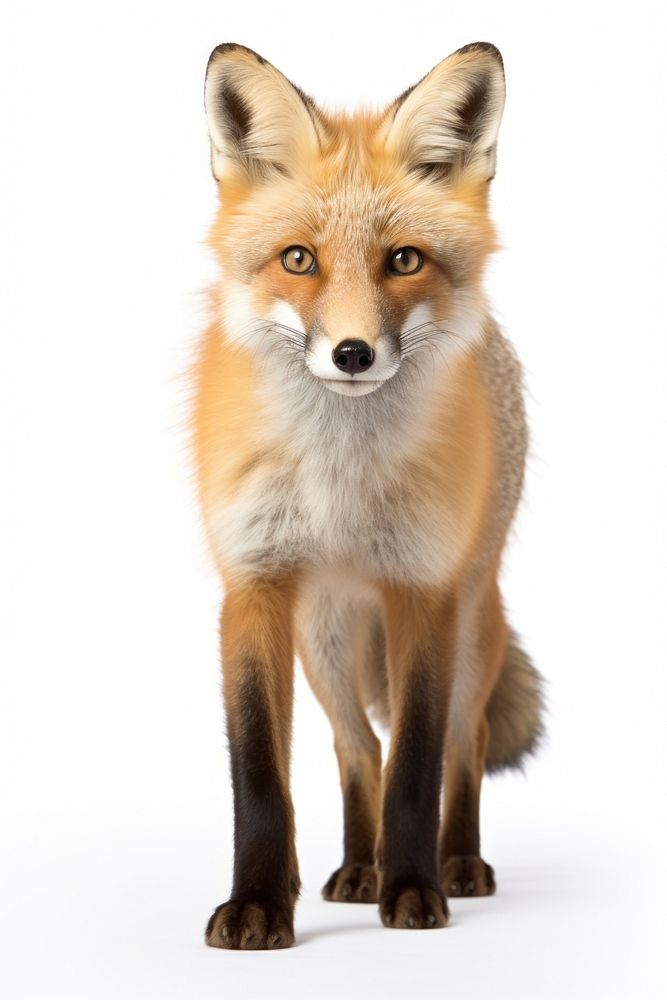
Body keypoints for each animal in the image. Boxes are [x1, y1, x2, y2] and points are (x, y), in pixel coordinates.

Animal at [192, 41, 544, 950]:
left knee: (462, 740)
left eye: (403, 260)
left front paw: (414, 889)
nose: (351, 353)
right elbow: (261, 776)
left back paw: (452, 863)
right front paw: (257, 902)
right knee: (356, 750)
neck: (337, 482)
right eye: (298, 259)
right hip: (324, 638)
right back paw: (356, 868)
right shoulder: (253, 586)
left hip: (469, 622)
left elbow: (416, 763)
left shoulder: (421, 589)